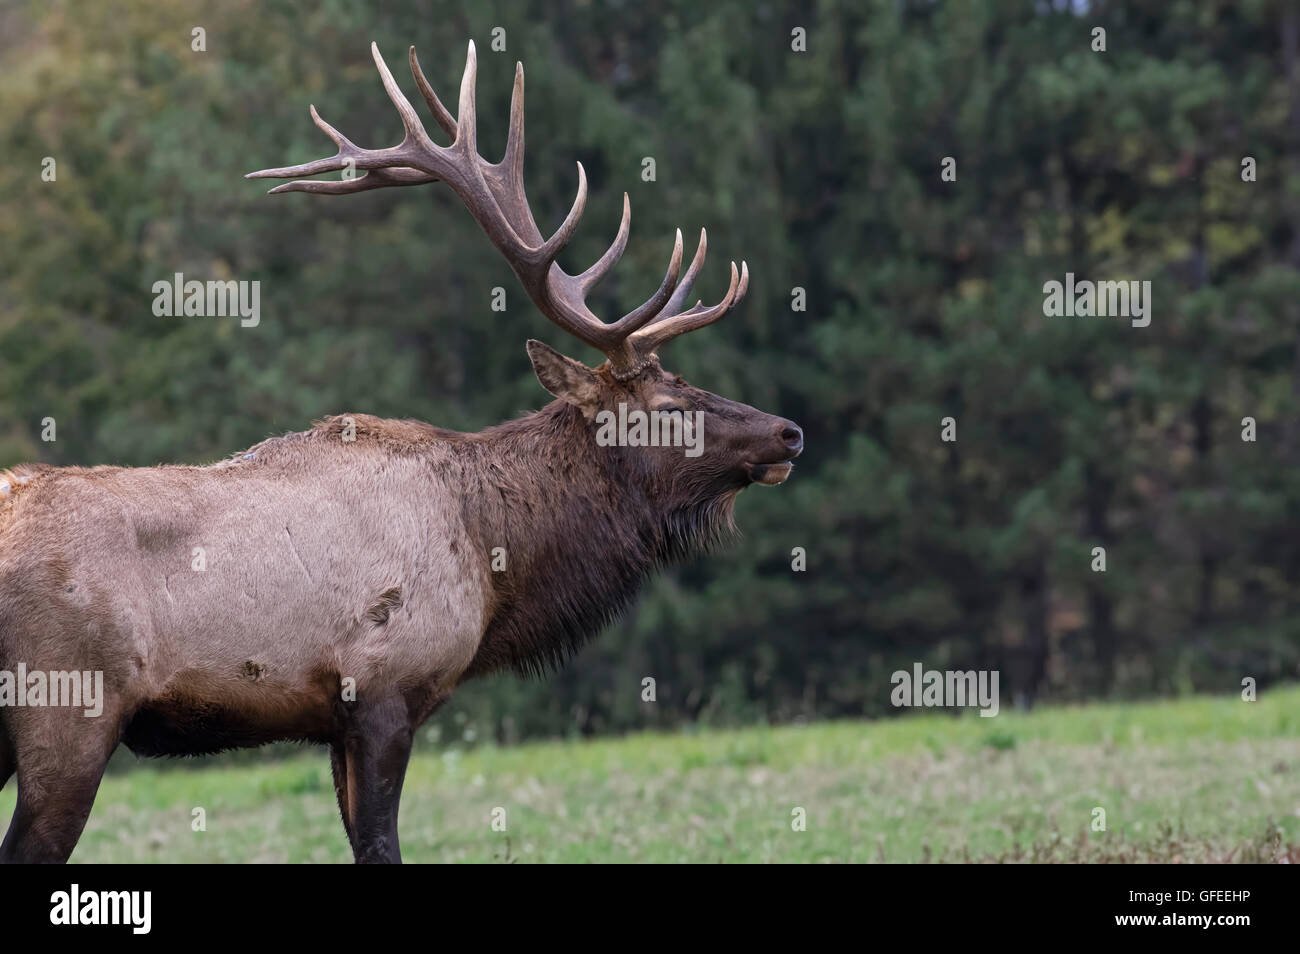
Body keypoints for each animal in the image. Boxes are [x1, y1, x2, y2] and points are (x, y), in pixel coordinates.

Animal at [0, 40, 803, 863]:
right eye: (671, 408)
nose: (787, 432)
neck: (492, 554)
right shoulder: (383, 690)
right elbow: (382, 846)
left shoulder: (334, 721)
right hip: (68, 708)